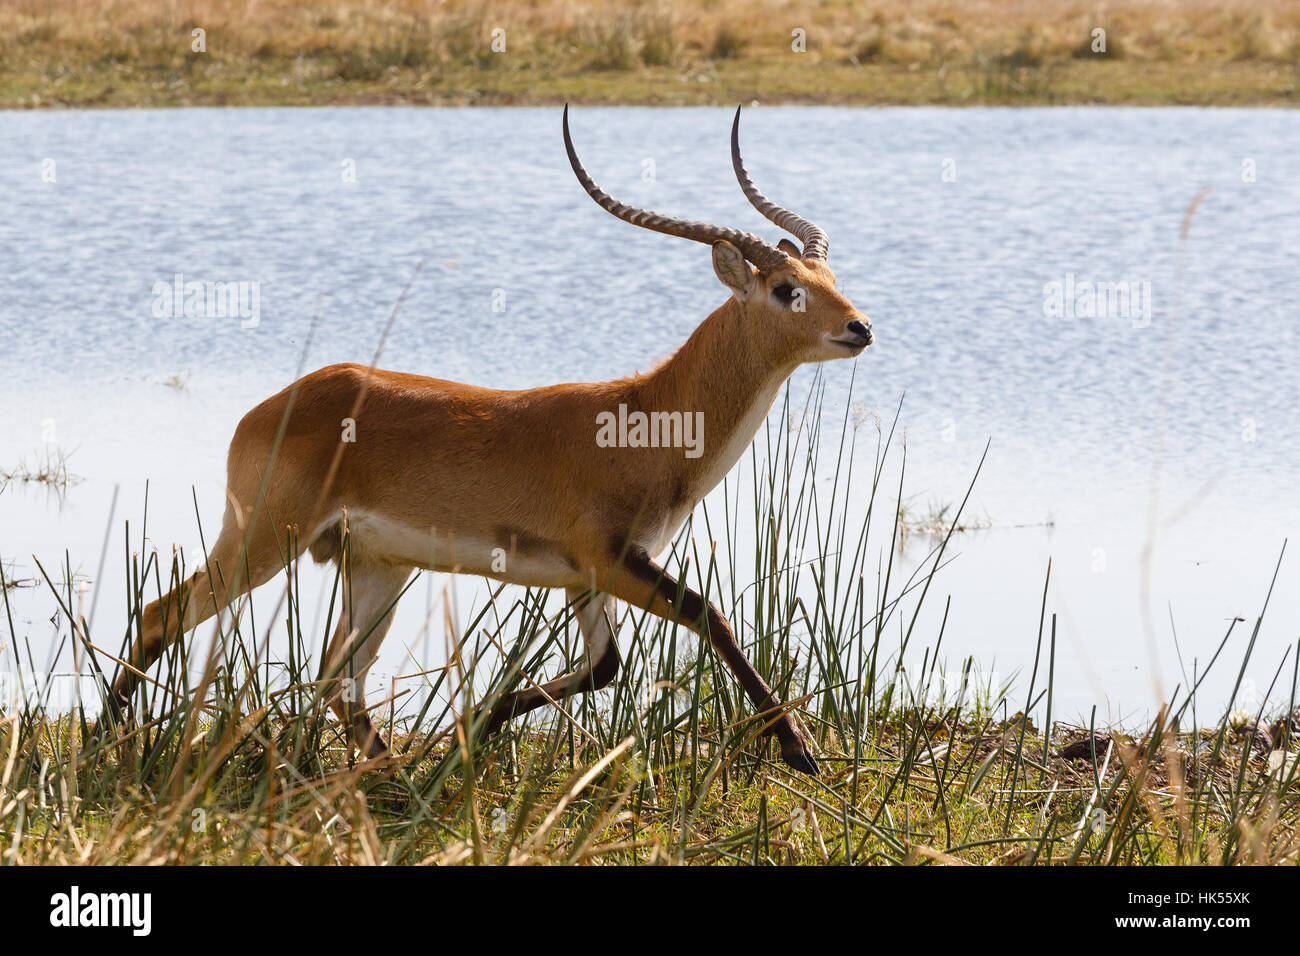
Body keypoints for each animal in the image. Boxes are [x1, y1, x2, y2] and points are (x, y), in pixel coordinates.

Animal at [108, 106, 873, 776]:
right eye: (786, 288)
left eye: (831, 278)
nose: (860, 327)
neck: (646, 414)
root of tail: (272, 407)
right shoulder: (614, 561)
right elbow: (710, 618)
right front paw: (800, 750)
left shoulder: (586, 576)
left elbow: (604, 668)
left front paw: (469, 730)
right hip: (265, 541)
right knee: (160, 614)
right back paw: (113, 746)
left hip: (376, 565)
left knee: (337, 680)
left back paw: (395, 777)